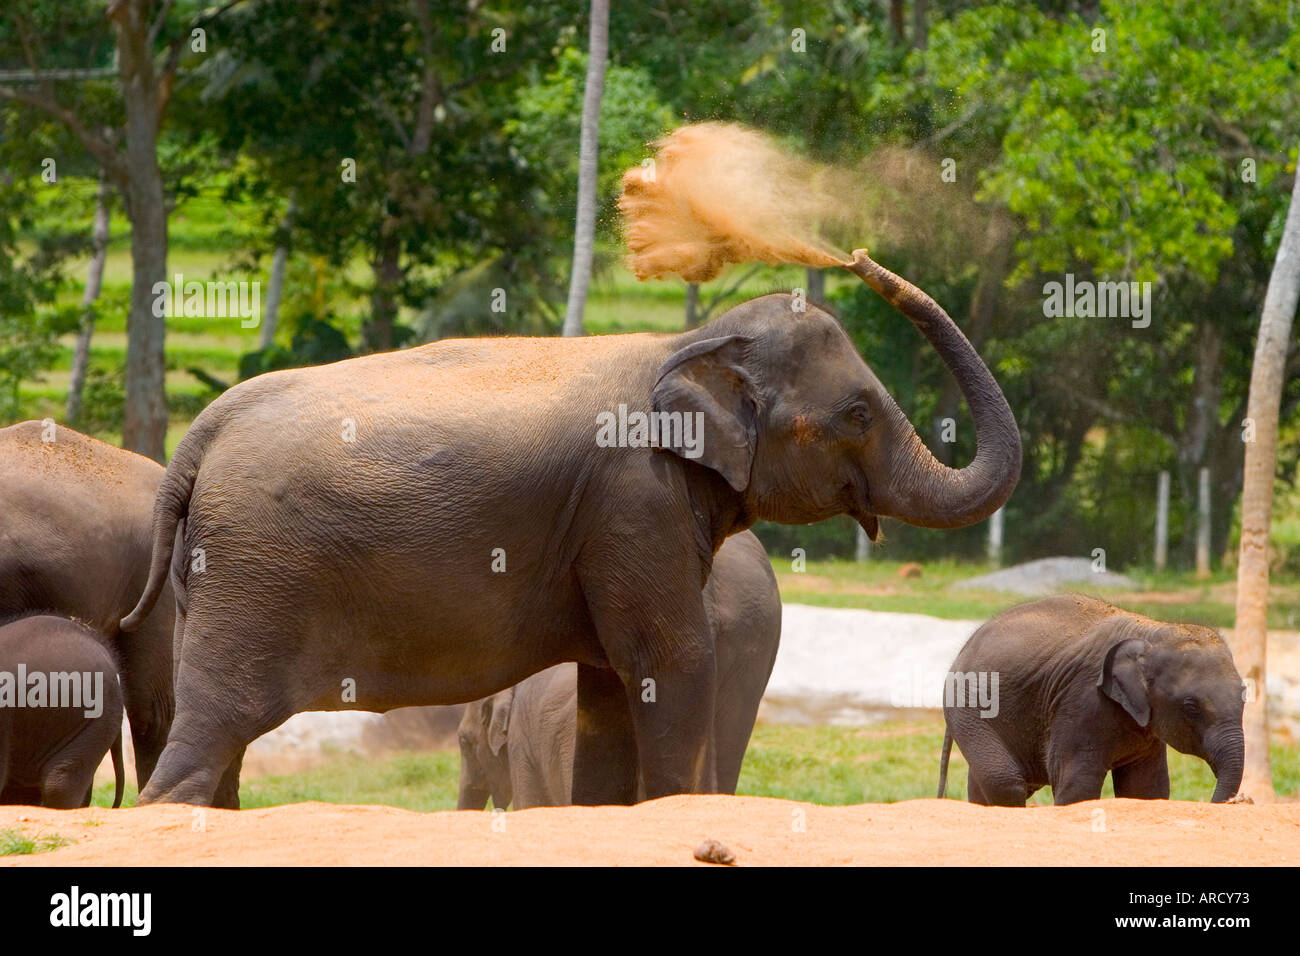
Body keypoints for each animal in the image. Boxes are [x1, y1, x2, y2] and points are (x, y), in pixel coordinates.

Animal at [937, 595, 1246, 806]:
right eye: (1191, 707)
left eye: (1244, 697)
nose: (1234, 801)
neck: (1153, 631)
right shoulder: (1082, 701)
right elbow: (1077, 784)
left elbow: (1145, 788)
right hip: (968, 708)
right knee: (1005, 781)